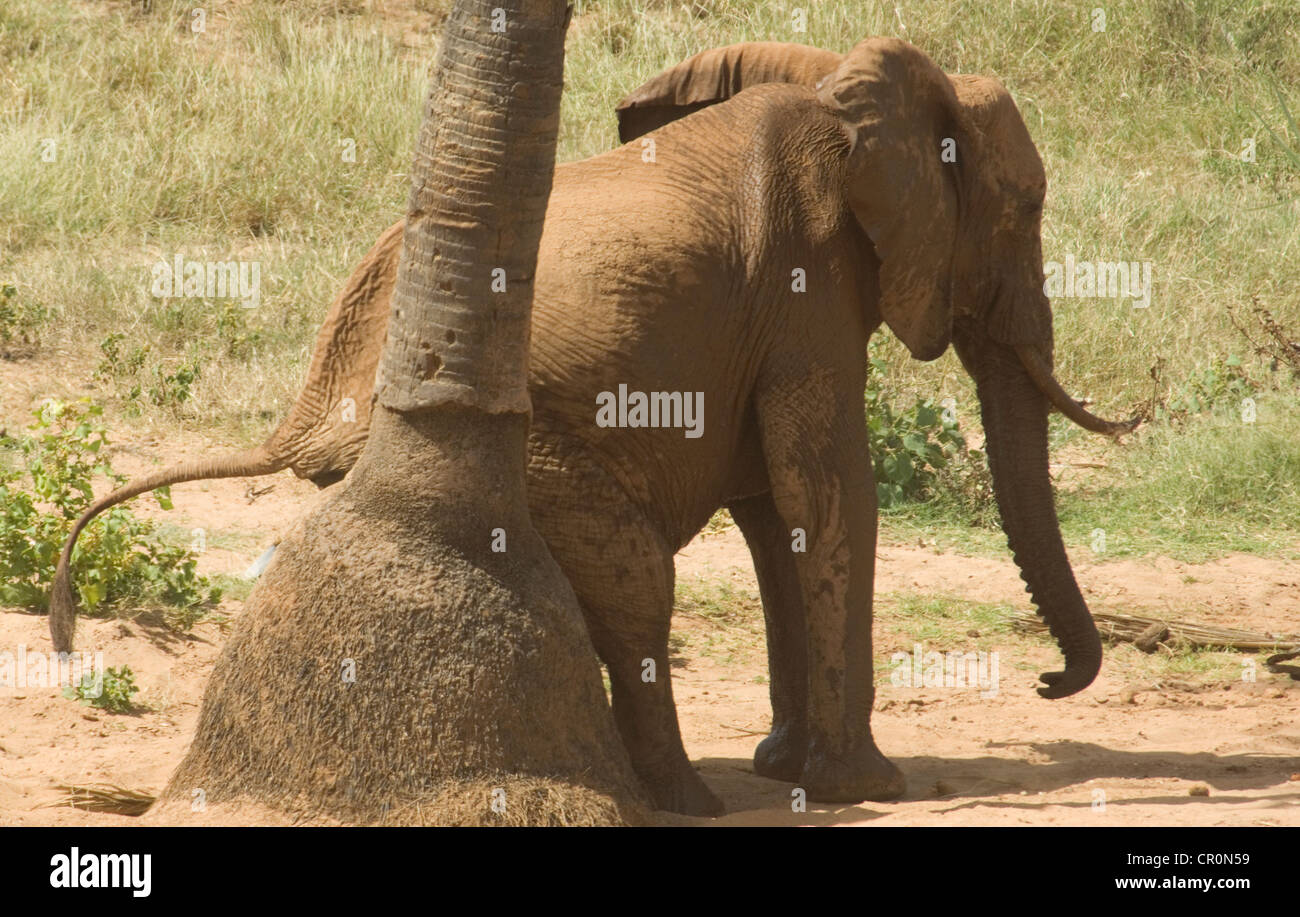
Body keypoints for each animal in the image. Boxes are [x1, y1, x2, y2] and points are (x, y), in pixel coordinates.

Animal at [51, 37, 1136, 816]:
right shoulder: (810, 289)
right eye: (1027, 206)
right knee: (636, 578)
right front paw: (865, 787)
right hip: (528, 447)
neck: (837, 78)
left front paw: (786, 765)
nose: (1048, 681)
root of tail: (316, 410)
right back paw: (687, 799)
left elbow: (771, 508)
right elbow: (822, 490)